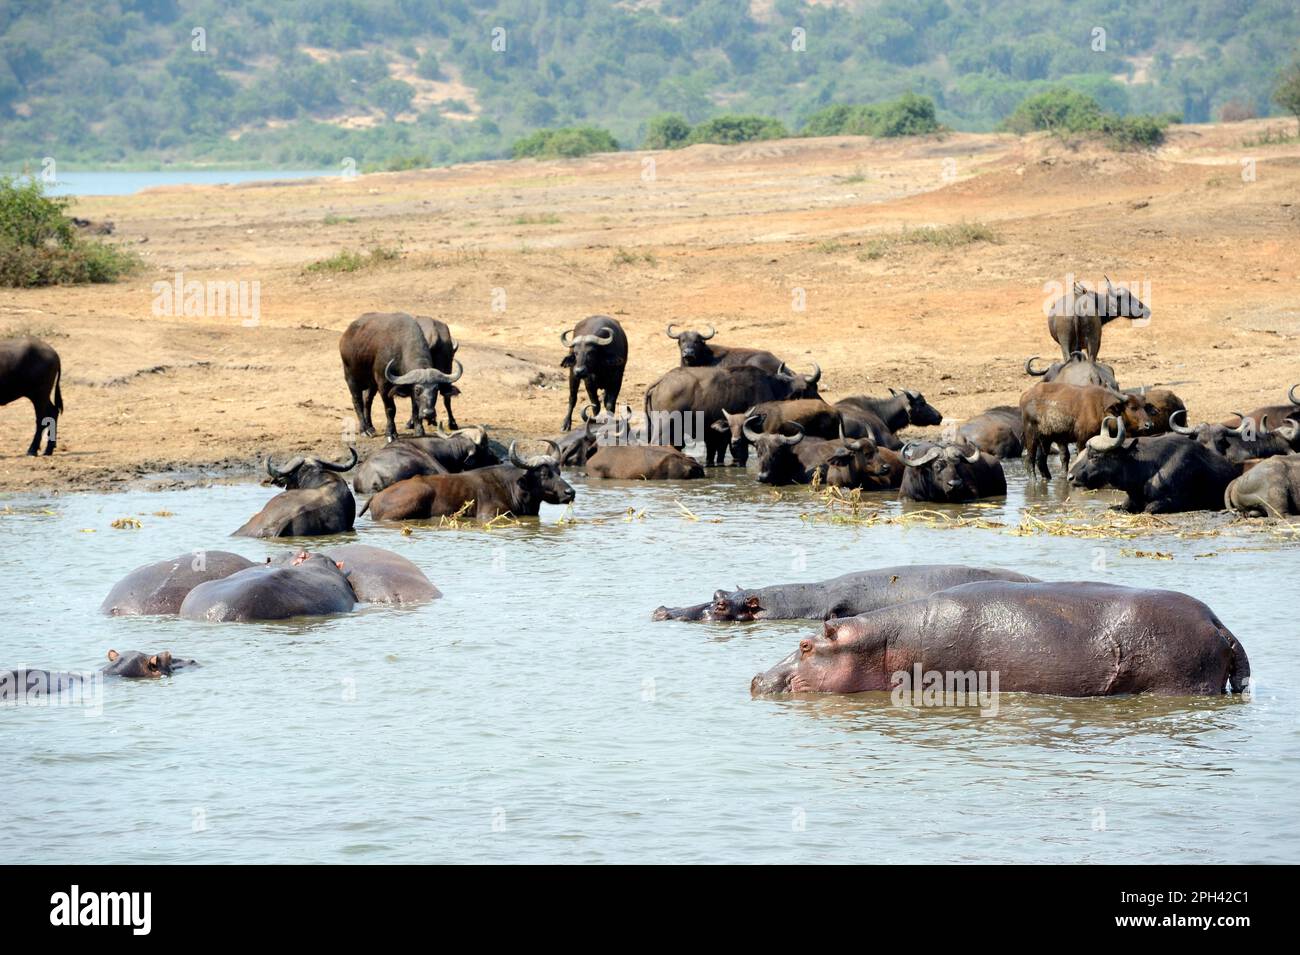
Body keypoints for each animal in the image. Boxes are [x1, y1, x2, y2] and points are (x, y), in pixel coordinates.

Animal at [340, 312, 464, 441]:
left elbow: (415, 408)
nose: (428, 413)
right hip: (351, 377)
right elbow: (390, 409)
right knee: (357, 401)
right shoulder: (384, 385)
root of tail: (347, 334)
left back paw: (370, 427)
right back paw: (364, 430)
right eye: (417, 389)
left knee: (367, 400)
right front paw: (391, 433)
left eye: (436, 389)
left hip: (371, 383)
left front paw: (419, 431)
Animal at [363, 441, 574, 520]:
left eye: (558, 471)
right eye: (544, 473)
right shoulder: (490, 514)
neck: (513, 487)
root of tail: (376, 496)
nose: (570, 492)